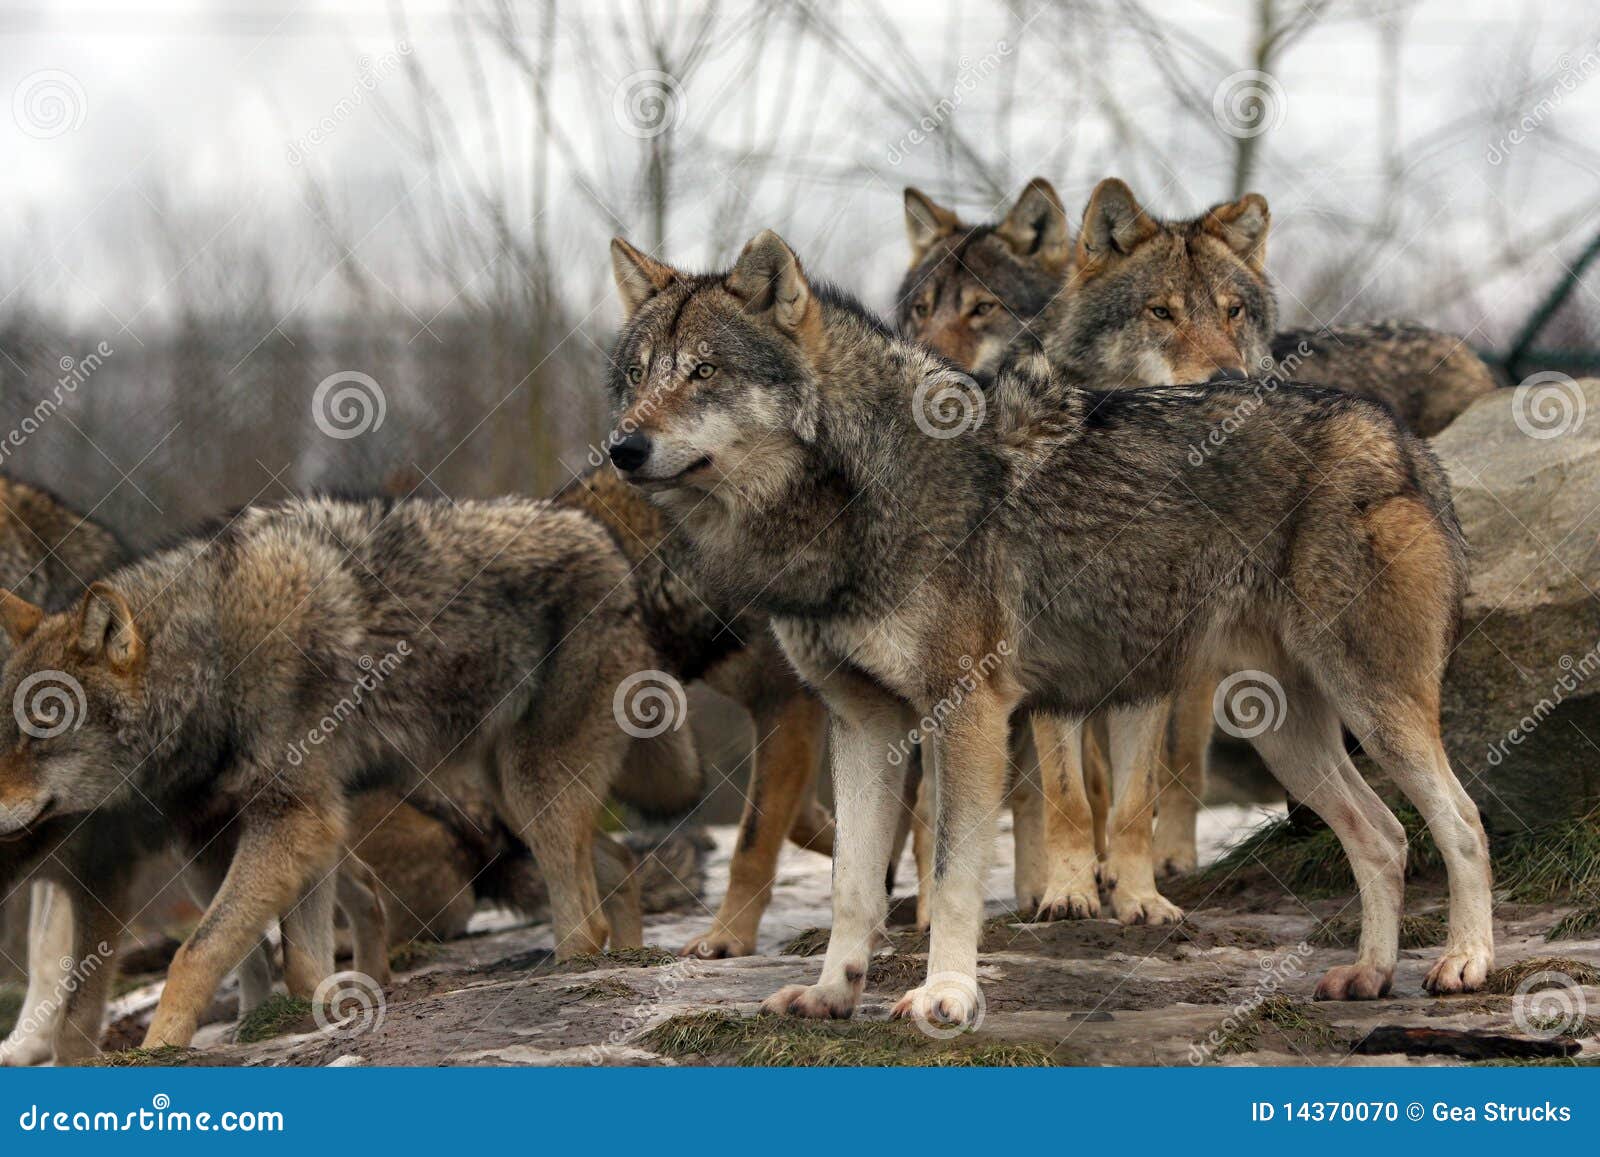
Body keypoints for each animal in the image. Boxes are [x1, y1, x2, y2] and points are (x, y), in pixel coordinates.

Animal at [0, 495, 649, 1052]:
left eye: (38, 734)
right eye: (2, 736)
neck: (214, 659)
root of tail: (605, 540)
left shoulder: (295, 817)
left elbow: (196, 954)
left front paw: (159, 1049)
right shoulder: (259, 828)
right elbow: (295, 963)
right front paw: (316, 1016)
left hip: (530, 785)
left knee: (585, 912)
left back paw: (577, 967)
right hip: (514, 795)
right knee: (618, 861)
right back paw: (630, 962)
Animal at [602, 229, 1494, 1026]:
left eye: (706, 371)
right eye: (639, 375)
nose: (622, 447)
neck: (855, 494)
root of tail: (1402, 440)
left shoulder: (966, 713)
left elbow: (952, 874)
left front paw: (946, 998)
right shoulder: (862, 723)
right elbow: (854, 884)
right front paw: (831, 994)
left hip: (1375, 711)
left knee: (1462, 821)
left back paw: (1465, 963)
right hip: (1285, 731)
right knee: (1383, 836)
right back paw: (1369, 975)